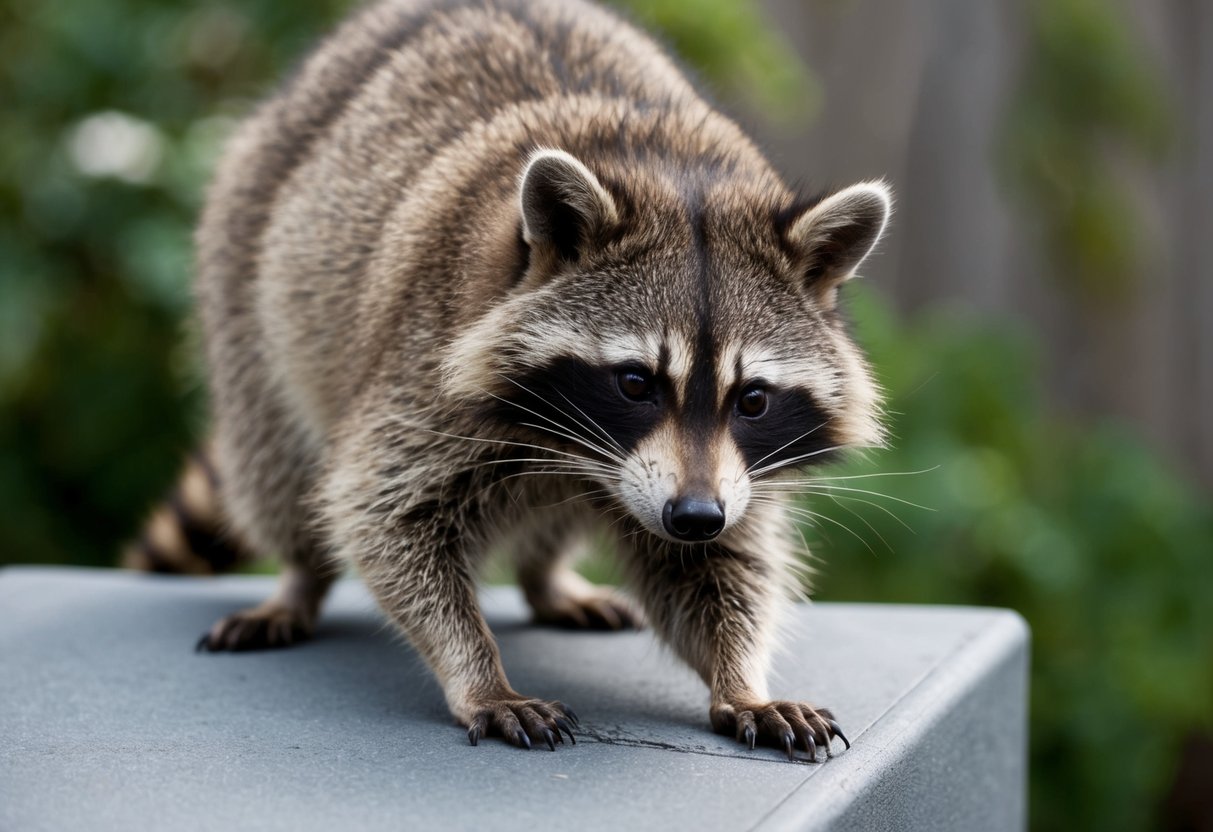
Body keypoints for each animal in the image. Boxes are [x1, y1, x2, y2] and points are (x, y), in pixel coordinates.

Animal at [164, 0, 891, 759]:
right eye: (635, 383)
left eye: (752, 399)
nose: (693, 517)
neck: (675, 173)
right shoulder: (425, 367)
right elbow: (382, 513)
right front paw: (478, 672)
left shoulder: (728, 474)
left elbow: (724, 562)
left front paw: (740, 679)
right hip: (244, 283)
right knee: (277, 469)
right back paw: (298, 580)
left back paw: (547, 579)